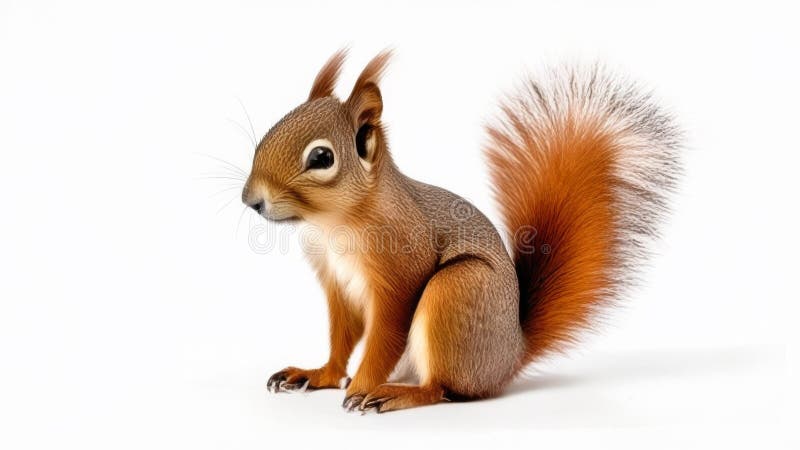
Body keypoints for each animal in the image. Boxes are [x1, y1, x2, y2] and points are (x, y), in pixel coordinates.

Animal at [241, 49, 681, 413]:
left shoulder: (400, 268)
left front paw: (361, 387)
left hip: (458, 291)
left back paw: (396, 394)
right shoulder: (336, 283)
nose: (251, 200)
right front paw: (322, 374)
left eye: (321, 157)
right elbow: (342, 334)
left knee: (443, 387)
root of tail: (509, 356)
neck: (333, 224)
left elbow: (385, 335)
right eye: (273, 127)